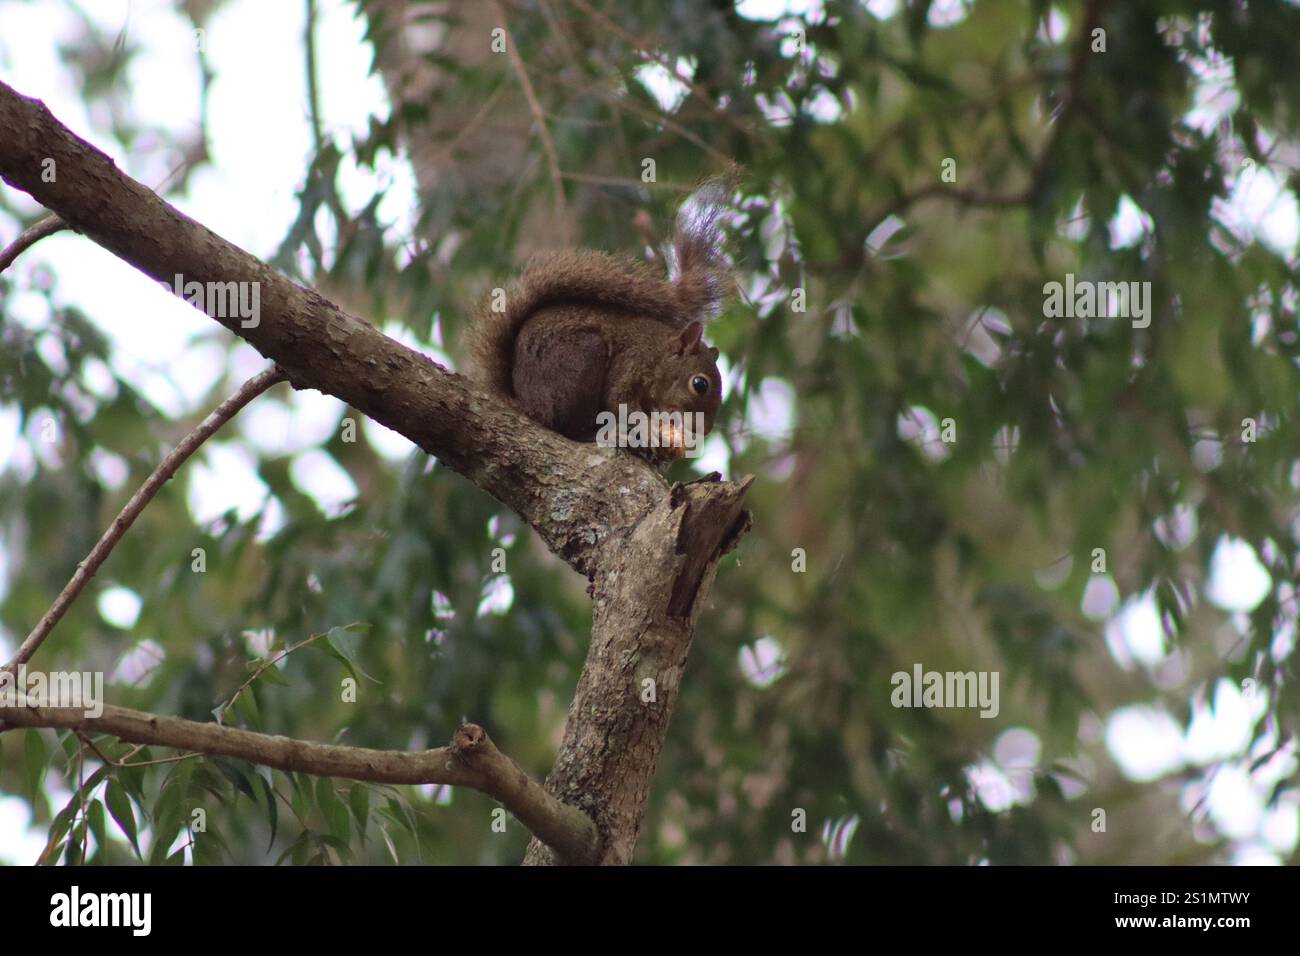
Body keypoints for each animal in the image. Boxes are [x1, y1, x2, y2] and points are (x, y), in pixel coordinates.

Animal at [465, 180, 732, 461]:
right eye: (700, 384)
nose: (704, 430)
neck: (657, 354)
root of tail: (526, 403)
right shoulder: (631, 363)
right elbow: (620, 402)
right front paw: (650, 431)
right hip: (579, 361)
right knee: (567, 427)